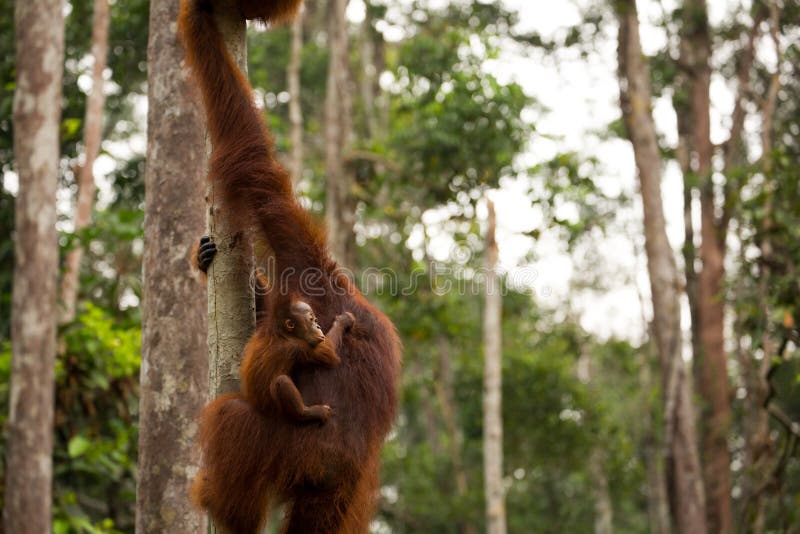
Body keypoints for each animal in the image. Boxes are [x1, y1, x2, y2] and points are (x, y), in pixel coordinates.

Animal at [179, 1, 401, 532]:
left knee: (233, 419)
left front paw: (196, 20)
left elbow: (255, 165)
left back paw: (223, 506)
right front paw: (204, 257)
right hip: (340, 489)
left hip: (297, 448)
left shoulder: (302, 263)